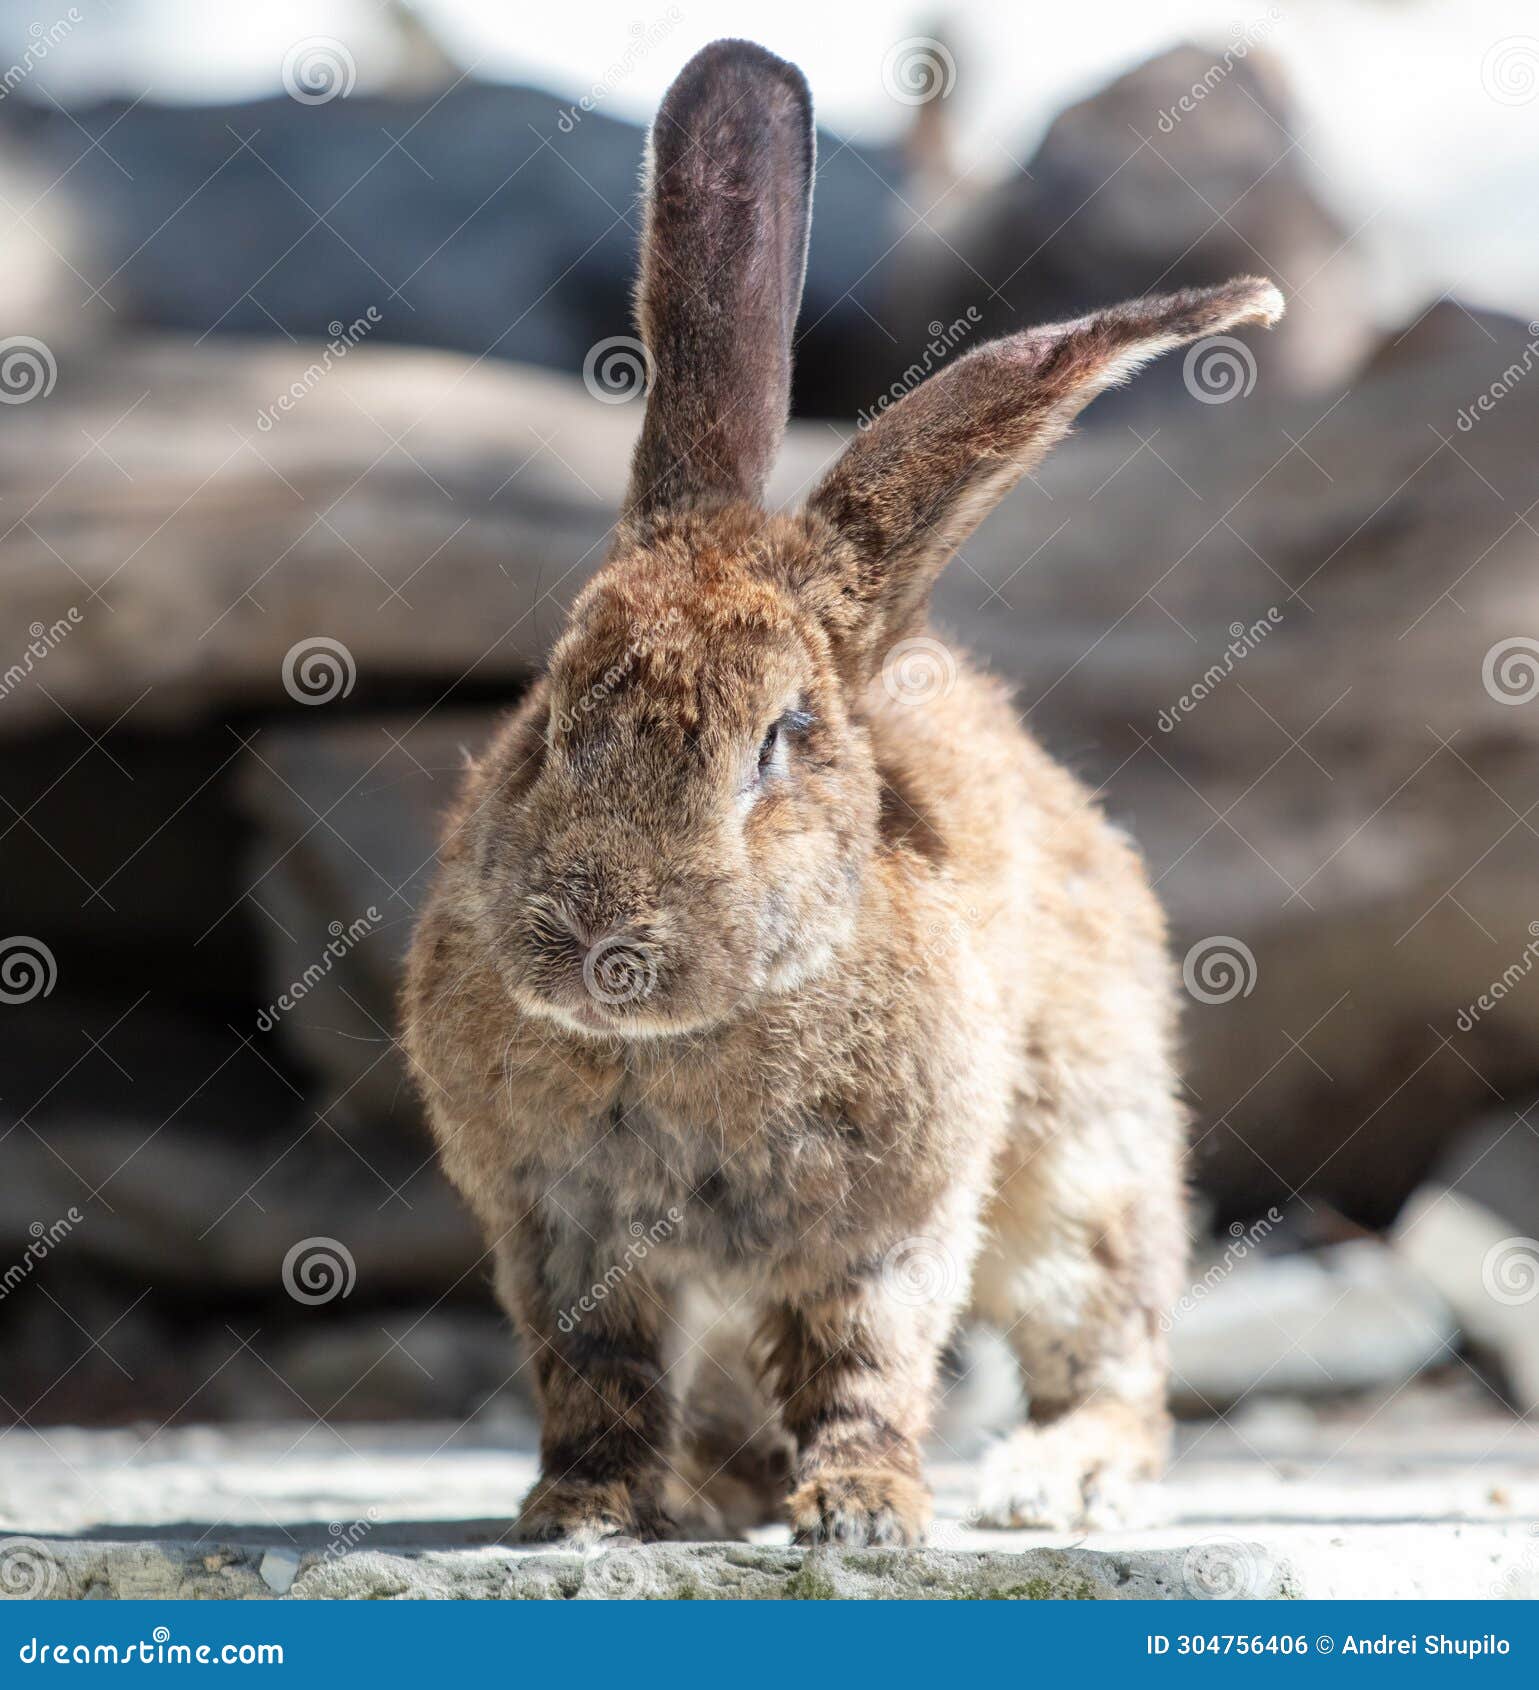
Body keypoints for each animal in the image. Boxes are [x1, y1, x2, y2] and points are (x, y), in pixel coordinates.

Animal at [401, 36, 1282, 1548]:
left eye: (781, 738)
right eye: (550, 713)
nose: (596, 943)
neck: (693, 1037)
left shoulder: (891, 1224)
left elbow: (864, 1357)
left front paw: (864, 1512)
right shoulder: (560, 1235)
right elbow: (596, 1373)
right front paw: (579, 1510)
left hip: (1080, 1168)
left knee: (1115, 1358)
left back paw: (1050, 1478)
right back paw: (714, 1488)